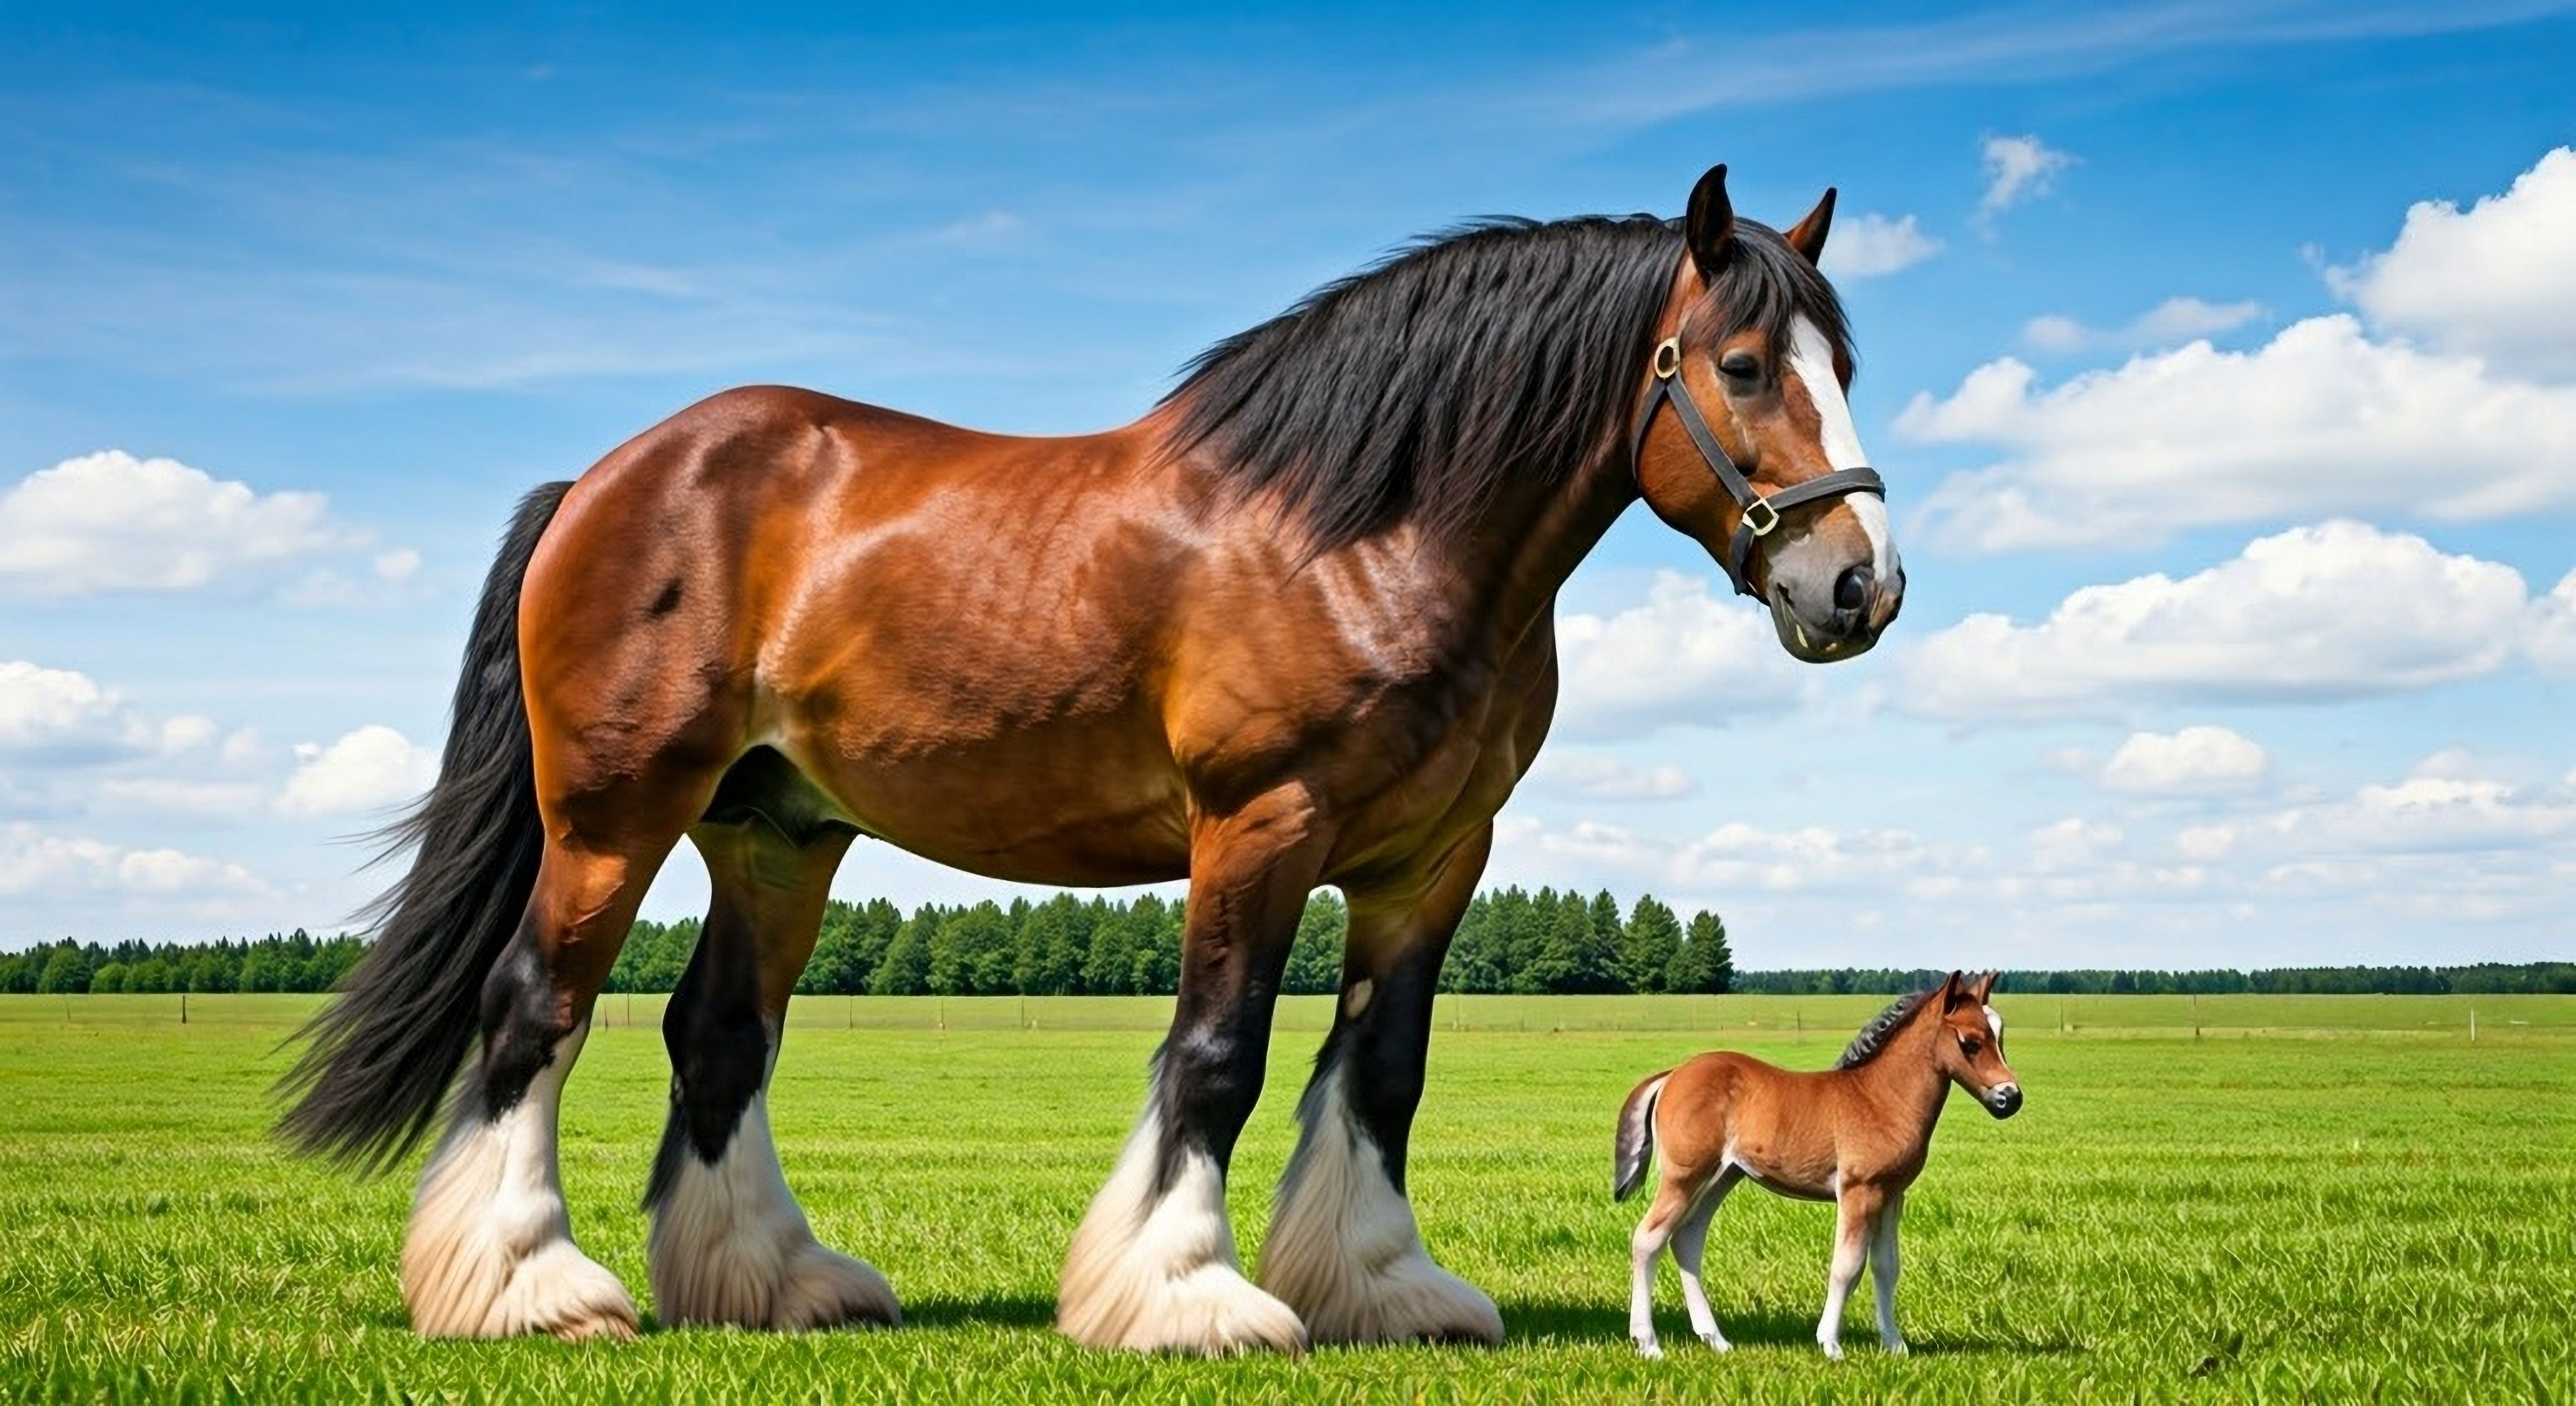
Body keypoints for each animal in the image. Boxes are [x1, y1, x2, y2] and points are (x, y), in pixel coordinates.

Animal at [277, 162, 1904, 1355]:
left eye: (1846, 362)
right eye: (1742, 364)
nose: (1859, 588)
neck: (1363, 532)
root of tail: (609, 478)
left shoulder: (1429, 859)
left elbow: (1381, 1068)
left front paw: (1384, 1287)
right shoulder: (1259, 826)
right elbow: (1217, 1055)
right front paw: (1188, 1295)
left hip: (774, 833)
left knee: (720, 1034)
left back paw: (778, 1281)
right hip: (613, 816)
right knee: (533, 1011)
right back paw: (527, 1286)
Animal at [1613, 971, 2022, 1360]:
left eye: (2000, 1038)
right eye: (1970, 1042)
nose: (2010, 1098)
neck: (1879, 1099)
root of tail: (1672, 1076)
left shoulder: (1892, 1195)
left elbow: (1887, 1268)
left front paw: (1895, 1346)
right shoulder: (1859, 1191)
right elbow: (1847, 1267)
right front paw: (1831, 1344)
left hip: (1723, 1176)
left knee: (1686, 1239)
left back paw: (1716, 1339)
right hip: (1685, 1175)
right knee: (1648, 1238)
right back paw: (1648, 1343)